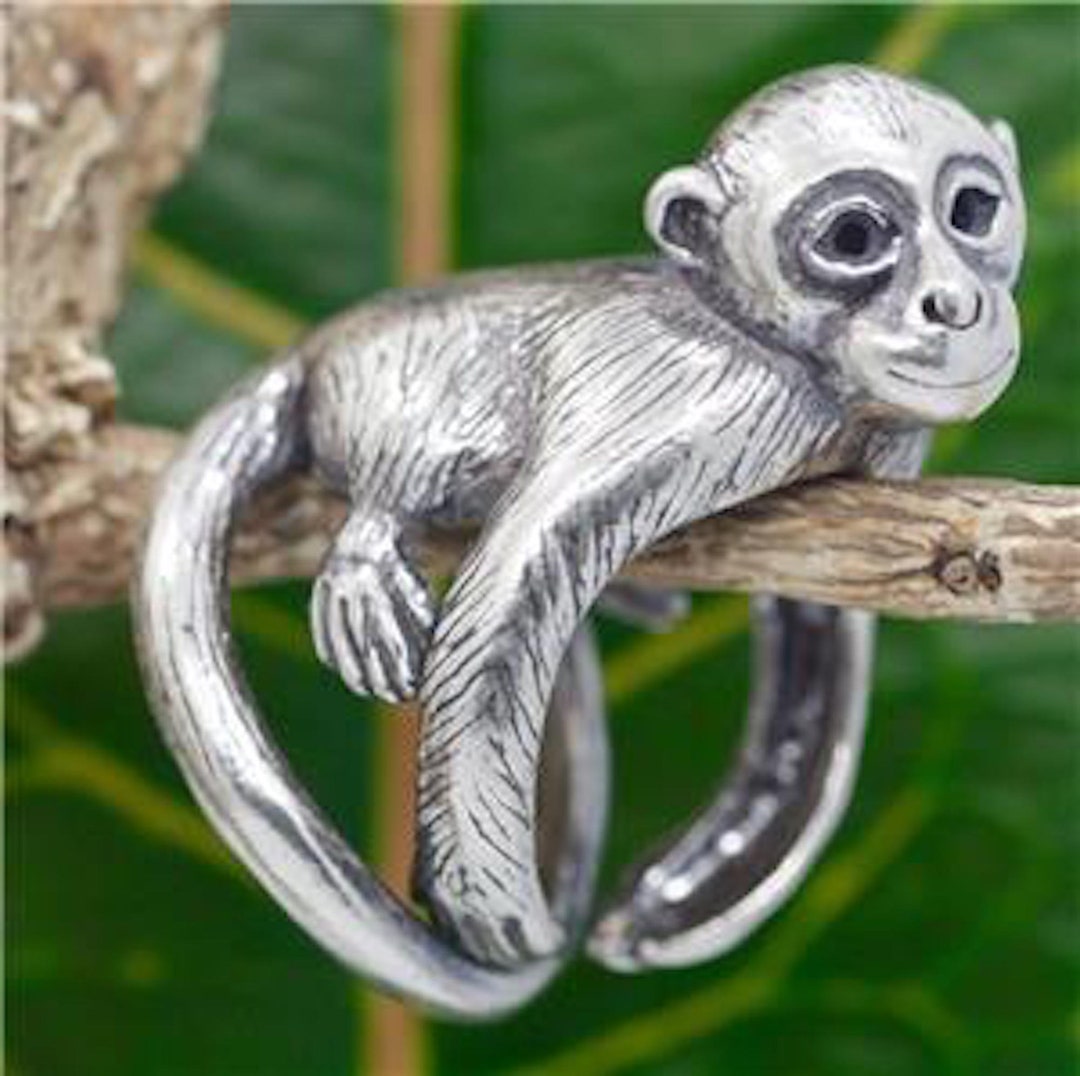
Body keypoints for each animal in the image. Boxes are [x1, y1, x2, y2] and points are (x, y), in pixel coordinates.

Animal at [136, 64, 1025, 995]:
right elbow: (517, 577)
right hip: (395, 390)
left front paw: (664, 901)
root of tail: (309, 353)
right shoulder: (700, 392)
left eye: (974, 212)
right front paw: (504, 915)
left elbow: (819, 634)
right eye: (854, 236)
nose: (954, 304)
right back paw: (369, 554)